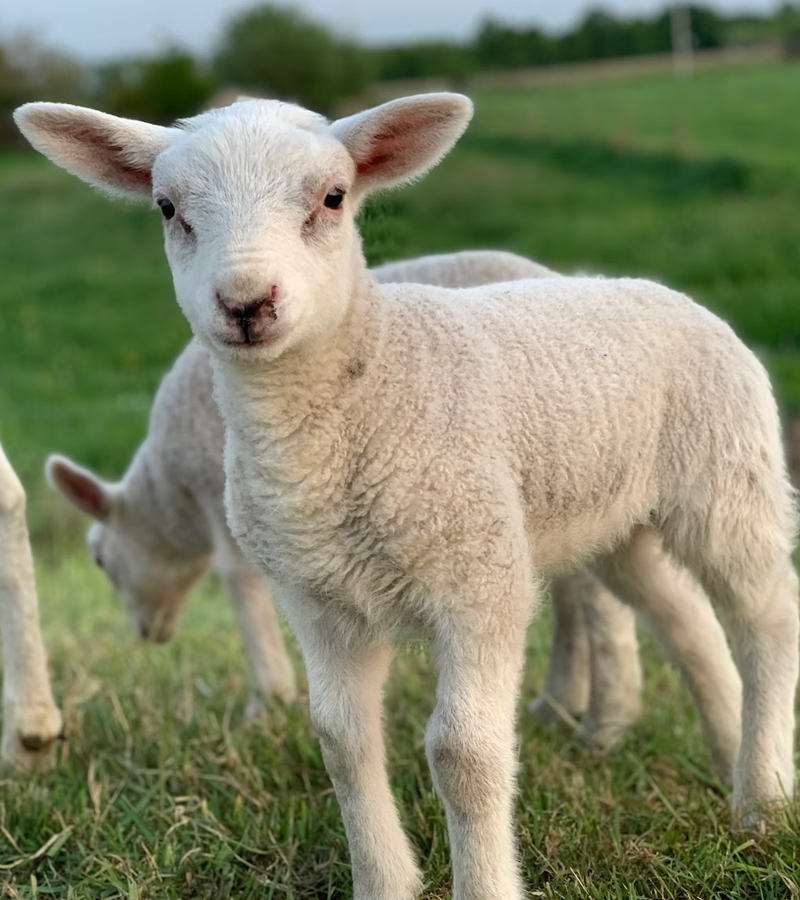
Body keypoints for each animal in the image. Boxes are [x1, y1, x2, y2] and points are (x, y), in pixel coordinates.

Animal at [16, 94, 798, 900]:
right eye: (168, 208)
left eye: (333, 198)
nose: (246, 302)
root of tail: (657, 288)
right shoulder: (321, 599)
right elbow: (341, 742)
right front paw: (383, 881)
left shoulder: (480, 579)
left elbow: (463, 754)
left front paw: (484, 885)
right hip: (620, 522)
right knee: (685, 621)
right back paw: (726, 757)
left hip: (727, 481)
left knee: (767, 620)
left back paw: (764, 797)